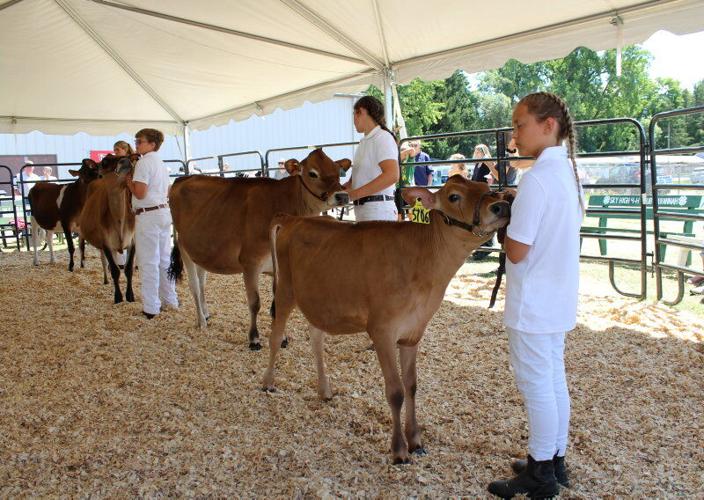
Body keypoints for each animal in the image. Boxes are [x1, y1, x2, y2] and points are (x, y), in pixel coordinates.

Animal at [79, 156, 136, 304]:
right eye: (104, 161)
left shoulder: (133, 241)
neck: (119, 218)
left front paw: (130, 296)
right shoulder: (105, 243)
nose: (125, 160)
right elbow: (115, 271)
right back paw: (106, 280)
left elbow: (128, 269)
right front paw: (118, 298)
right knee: (105, 262)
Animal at [168, 148, 350, 349]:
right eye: (312, 173)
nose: (342, 196)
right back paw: (201, 322)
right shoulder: (250, 262)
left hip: (200, 251)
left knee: (201, 282)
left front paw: (282, 338)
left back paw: (206, 314)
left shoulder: (278, 267)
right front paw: (254, 339)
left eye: (338, 171)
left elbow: (277, 305)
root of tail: (182, 179)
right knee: (194, 285)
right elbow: (255, 303)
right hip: (184, 248)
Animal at [262, 176, 511, 464]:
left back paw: (324, 390)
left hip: (318, 299)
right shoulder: (382, 331)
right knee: (275, 335)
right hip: (285, 290)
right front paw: (399, 450)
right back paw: (267, 383)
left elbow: (412, 385)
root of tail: (293, 218)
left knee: (316, 338)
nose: (502, 207)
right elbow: (395, 392)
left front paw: (416, 441)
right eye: (454, 196)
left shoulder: (413, 333)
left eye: (486, 189)